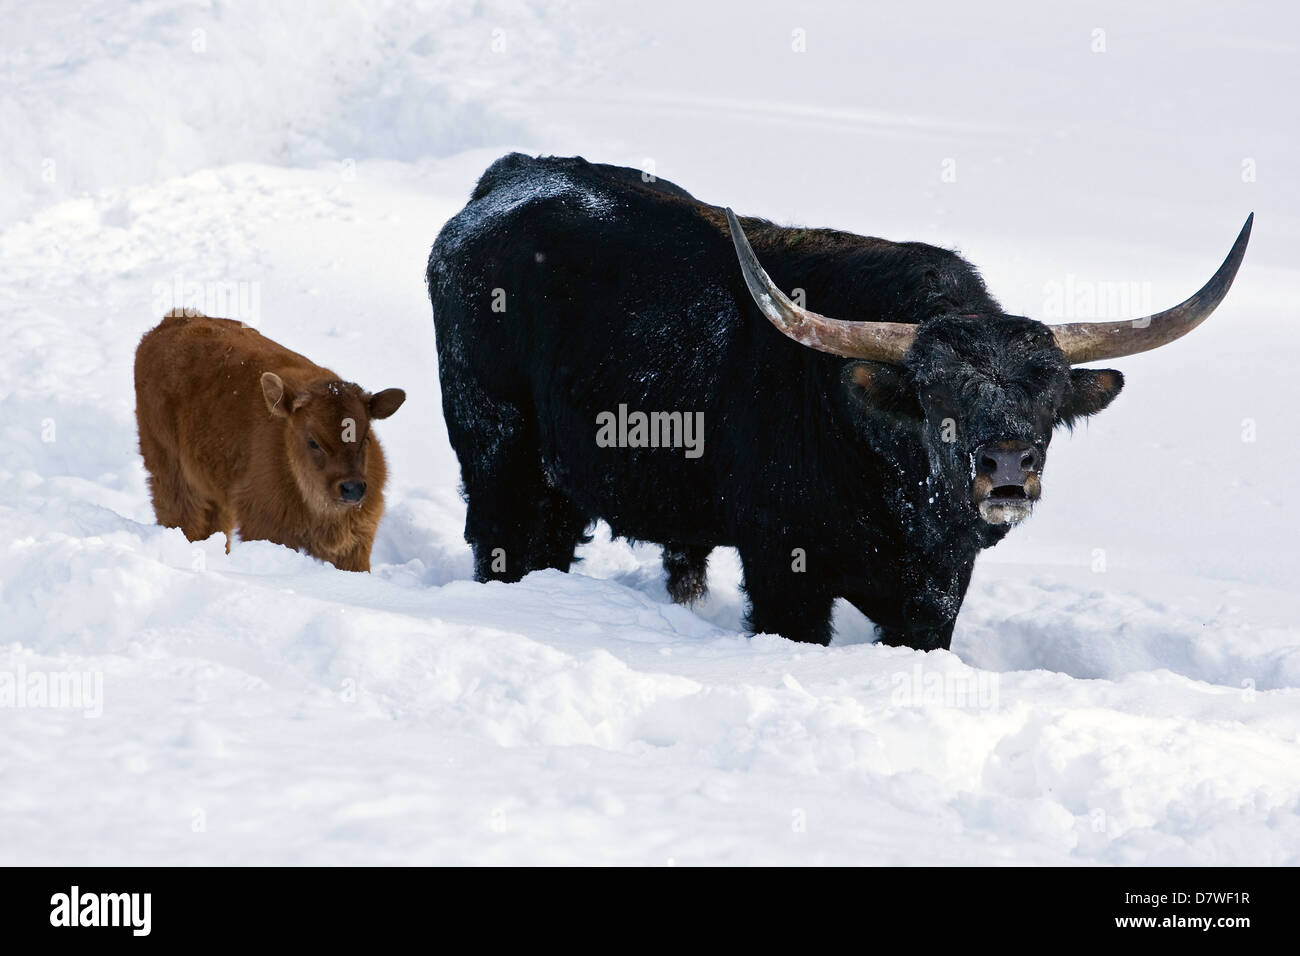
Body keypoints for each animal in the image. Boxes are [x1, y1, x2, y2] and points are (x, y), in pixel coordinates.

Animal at [134, 312, 406, 571]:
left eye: (366, 437)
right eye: (313, 441)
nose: (352, 488)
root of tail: (170, 323)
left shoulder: (355, 547)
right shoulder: (266, 530)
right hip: (171, 473)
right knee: (183, 519)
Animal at [426, 153, 1250, 649]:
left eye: (1047, 396)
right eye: (937, 395)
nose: (1007, 466)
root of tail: (507, 180)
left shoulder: (934, 597)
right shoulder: (782, 569)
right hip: (499, 461)